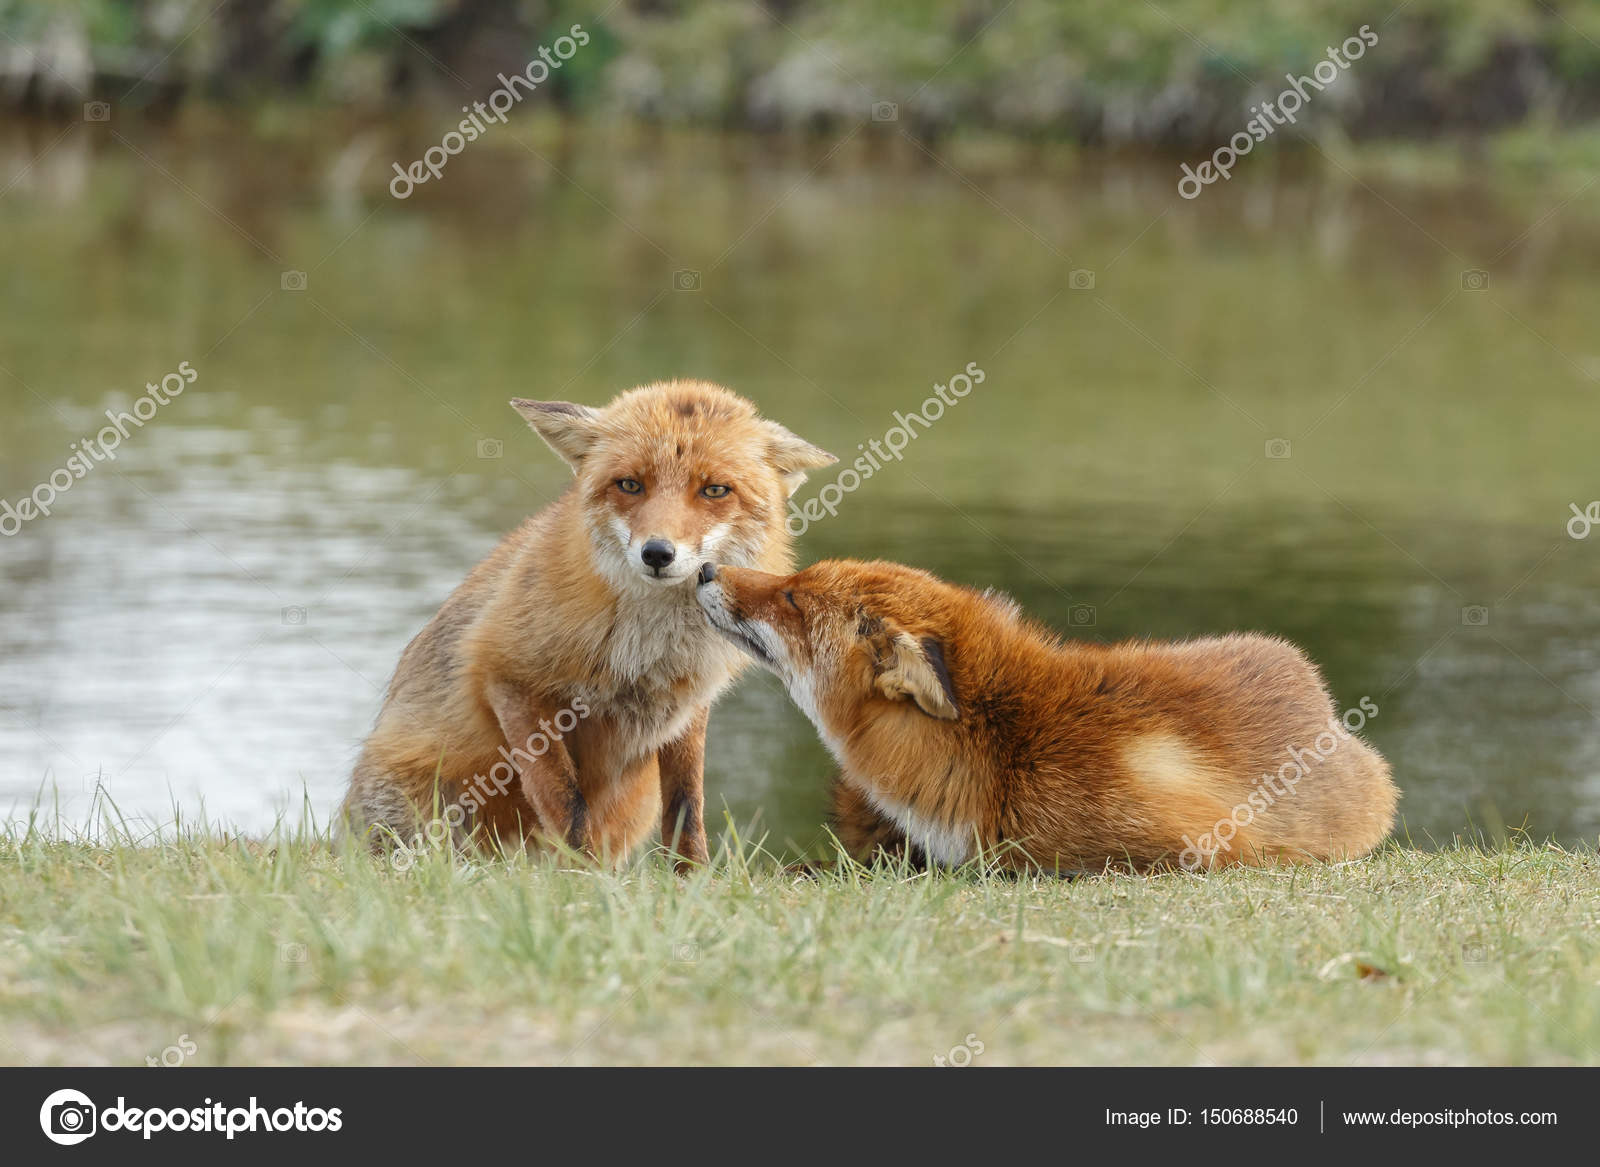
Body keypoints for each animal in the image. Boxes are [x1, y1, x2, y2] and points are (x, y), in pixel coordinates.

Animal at [342, 381, 835, 868]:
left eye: (715, 490)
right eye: (630, 484)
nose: (657, 553)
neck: (654, 648)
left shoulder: (688, 708)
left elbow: (687, 811)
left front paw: (691, 881)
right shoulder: (510, 679)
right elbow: (567, 805)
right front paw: (585, 881)